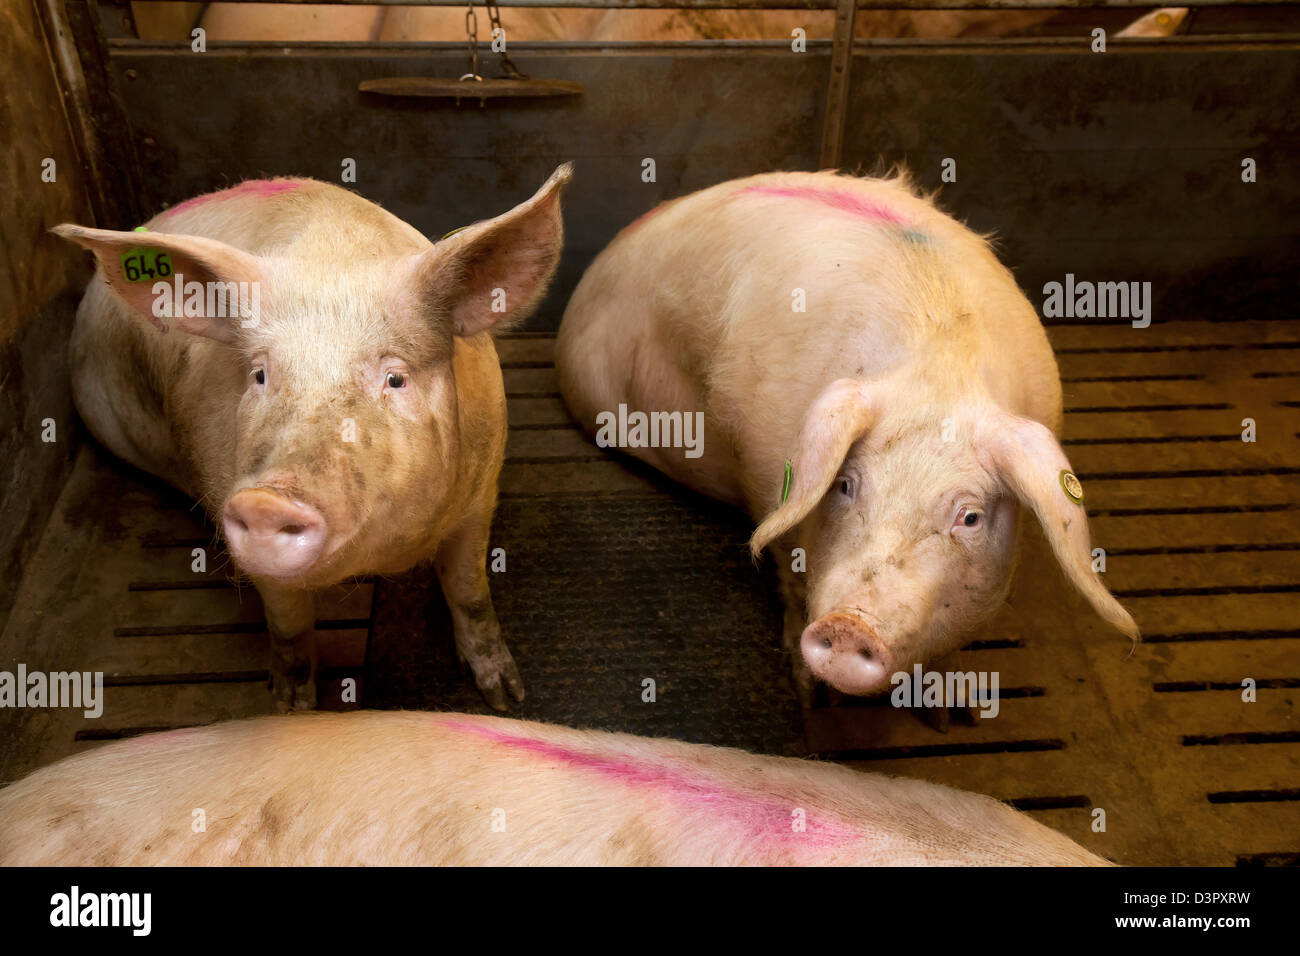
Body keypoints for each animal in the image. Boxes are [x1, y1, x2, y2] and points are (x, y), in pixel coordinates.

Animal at [54, 164, 574, 711]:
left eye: (395, 378)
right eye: (260, 374)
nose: (267, 500)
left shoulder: (481, 492)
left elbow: (470, 591)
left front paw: (507, 696)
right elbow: (289, 628)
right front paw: (291, 708)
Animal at [556, 171, 1138, 704]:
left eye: (969, 517)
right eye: (846, 486)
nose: (848, 624)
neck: (941, 370)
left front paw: (958, 711)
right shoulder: (763, 475)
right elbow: (789, 577)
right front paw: (806, 693)